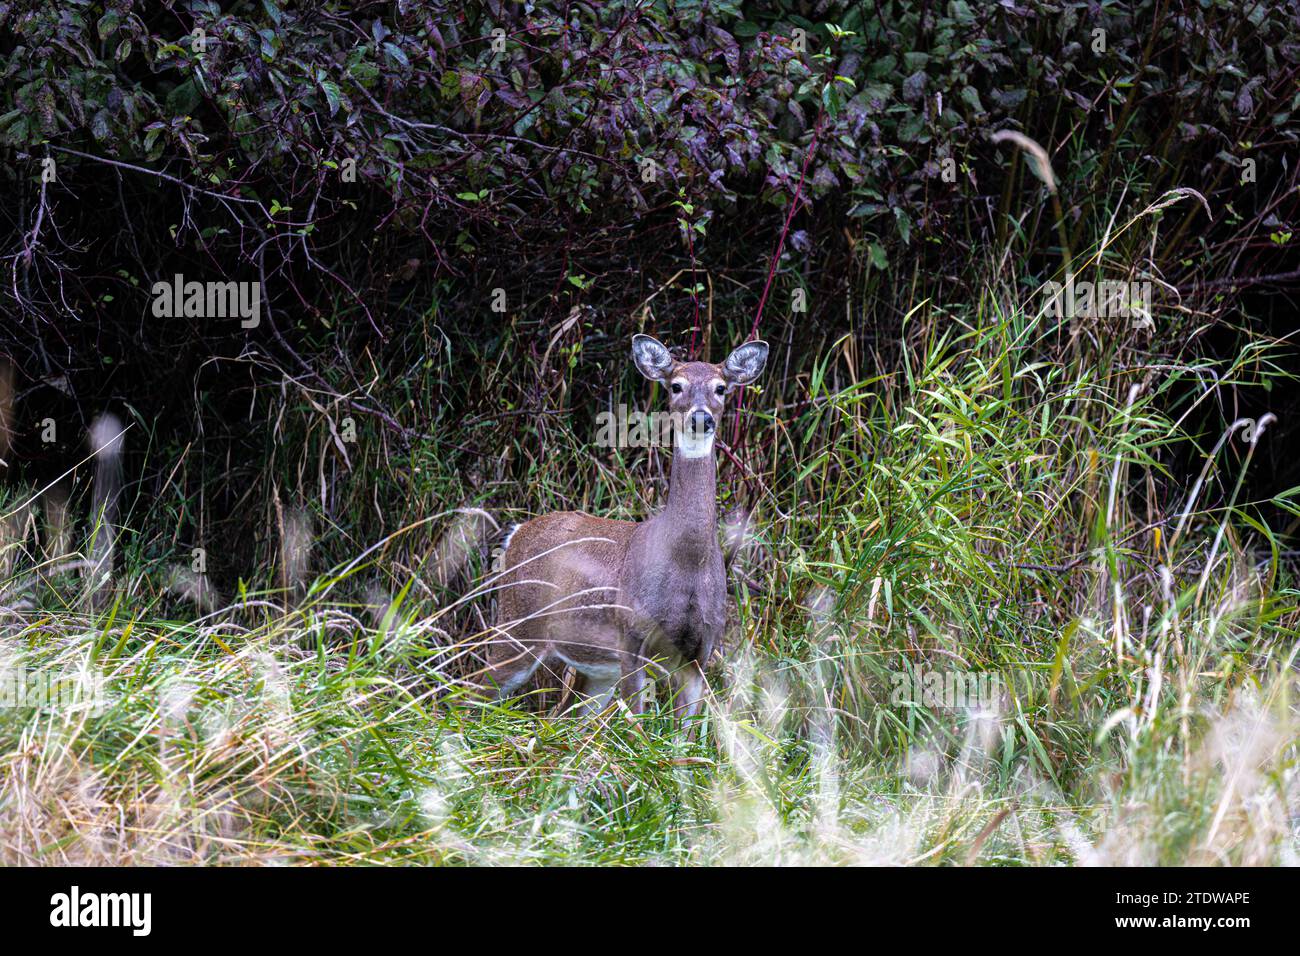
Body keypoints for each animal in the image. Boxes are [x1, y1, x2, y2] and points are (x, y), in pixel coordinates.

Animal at [481, 334, 768, 730]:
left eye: (721, 387)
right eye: (675, 385)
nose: (700, 417)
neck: (686, 563)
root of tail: (516, 533)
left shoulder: (701, 652)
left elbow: (685, 737)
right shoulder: (632, 638)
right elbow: (638, 729)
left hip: (594, 668)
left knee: (569, 719)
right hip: (518, 622)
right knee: (470, 691)